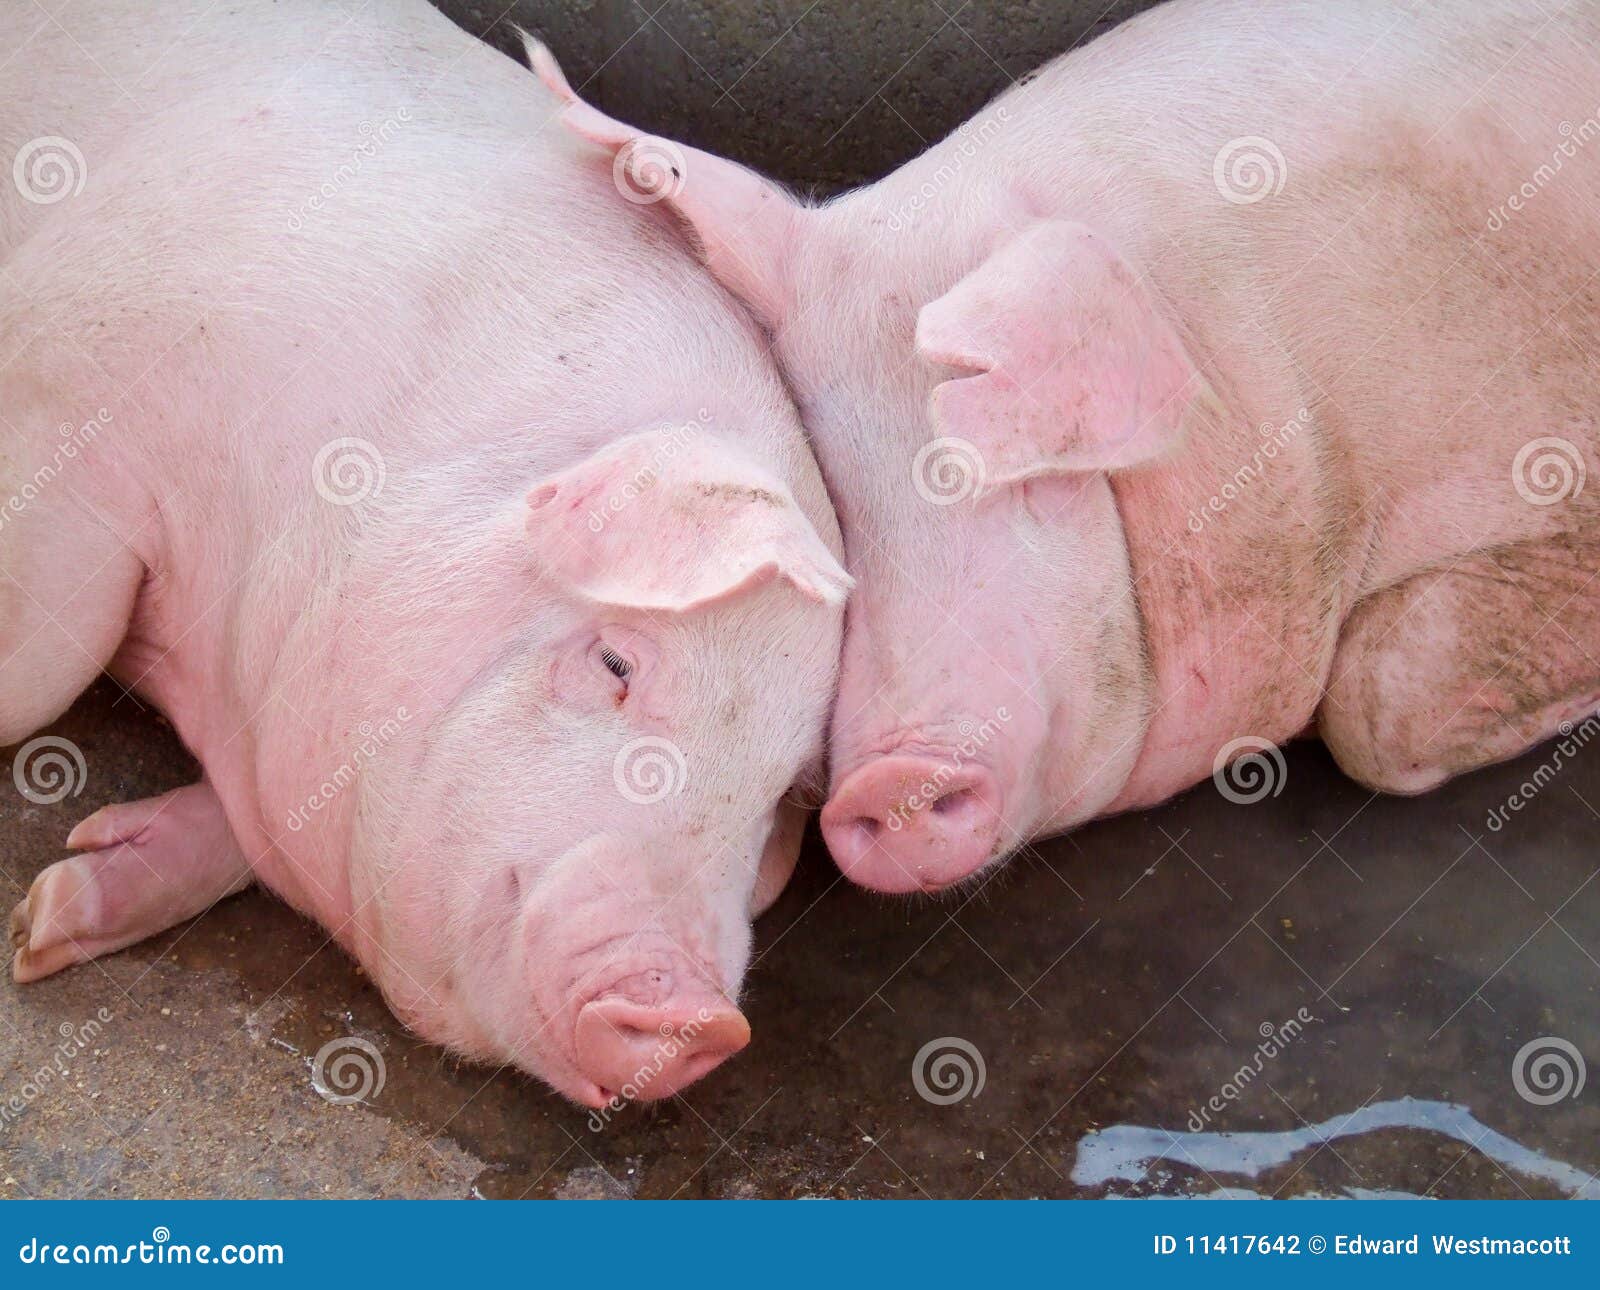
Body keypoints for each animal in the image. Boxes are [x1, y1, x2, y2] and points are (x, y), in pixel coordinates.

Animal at [0, 0, 851, 1106]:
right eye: (617, 661)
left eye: (780, 798)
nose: (699, 1021)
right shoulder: (69, 374)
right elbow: (37, 670)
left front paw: (48, 918)